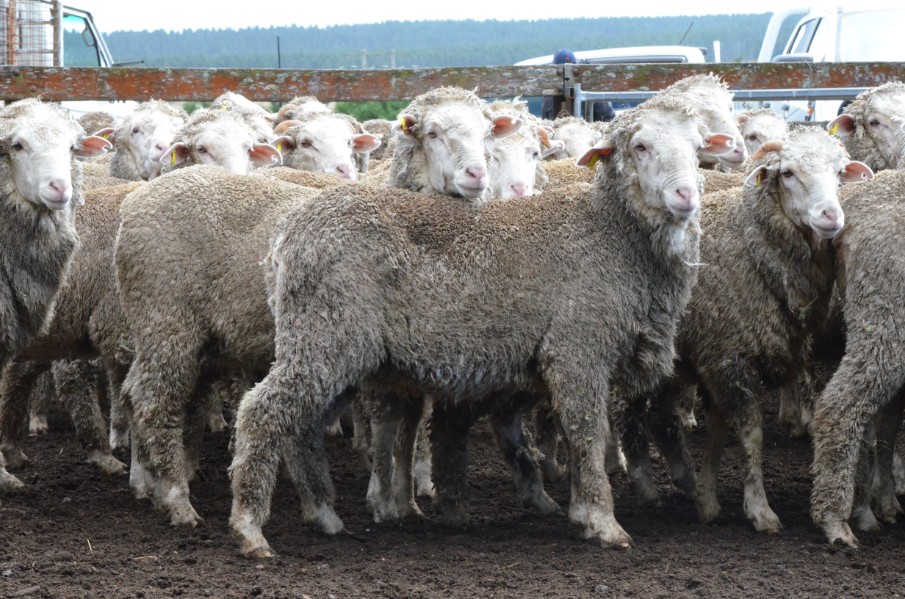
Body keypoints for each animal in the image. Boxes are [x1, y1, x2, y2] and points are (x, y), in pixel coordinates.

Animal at [226, 92, 737, 558]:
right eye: (640, 147)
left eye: (697, 147)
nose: (686, 196)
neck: (612, 235)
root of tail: (288, 234)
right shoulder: (578, 349)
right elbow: (588, 436)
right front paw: (605, 523)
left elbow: (573, 438)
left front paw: (580, 512)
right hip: (325, 335)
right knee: (260, 411)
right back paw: (251, 528)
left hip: (336, 346)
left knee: (304, 425)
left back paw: (324, 513)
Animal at [617, 128, 872, 534]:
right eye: (787, 173)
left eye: (838, 173)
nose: (831, 216)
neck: (751, 243)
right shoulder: (727, 355)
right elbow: (751, 435)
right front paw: (760, 509)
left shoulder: (717, 356)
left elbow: (719, 432)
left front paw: (707, 499)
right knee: (626, 412)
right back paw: (641, 483)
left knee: (659, 416)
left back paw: (681, 478)